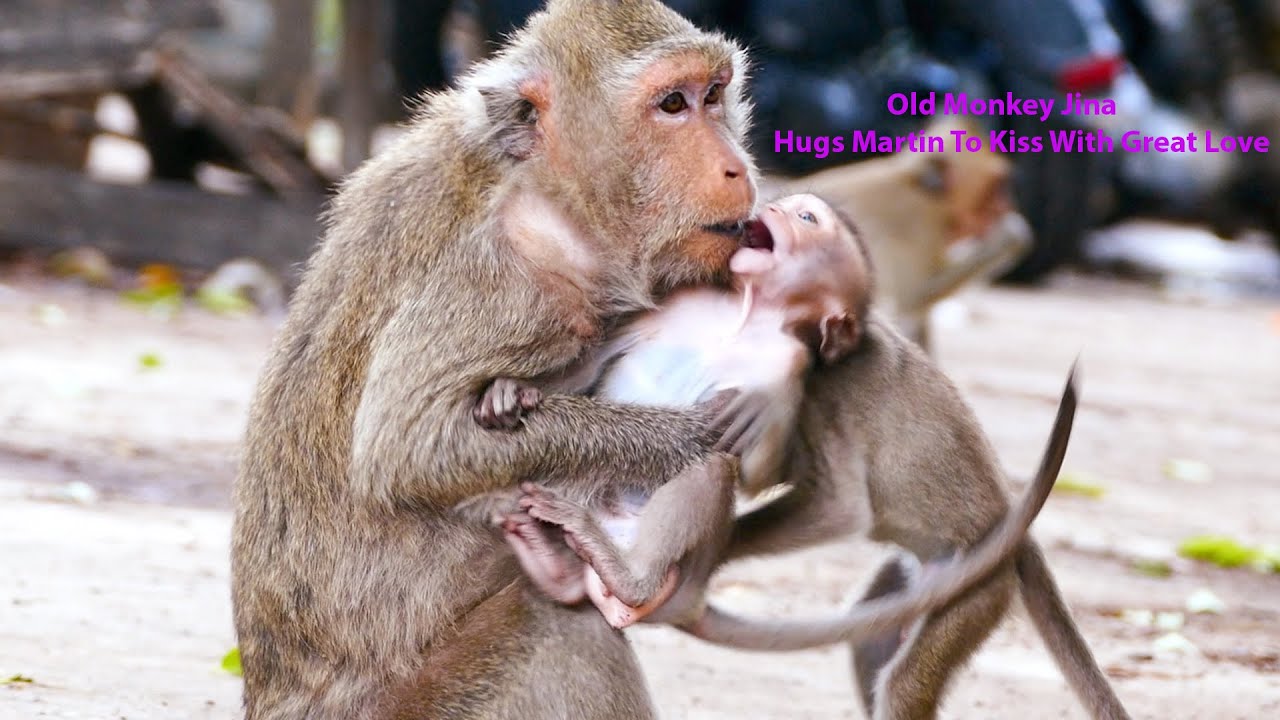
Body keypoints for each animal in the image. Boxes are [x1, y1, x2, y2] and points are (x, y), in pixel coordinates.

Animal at [229, 2, 764, 719]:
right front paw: (689, 437)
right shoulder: (498, 278)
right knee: (564, 629)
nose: (737, 165)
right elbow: (408, 445)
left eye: (714, 95)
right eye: (672, 104)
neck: (544, 192)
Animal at [770, 118, 1031, 355]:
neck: (923, 189)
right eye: (998, 188)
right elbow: (914, 298)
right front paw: (1011, 235)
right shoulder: (919, 225)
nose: (1009, 204)